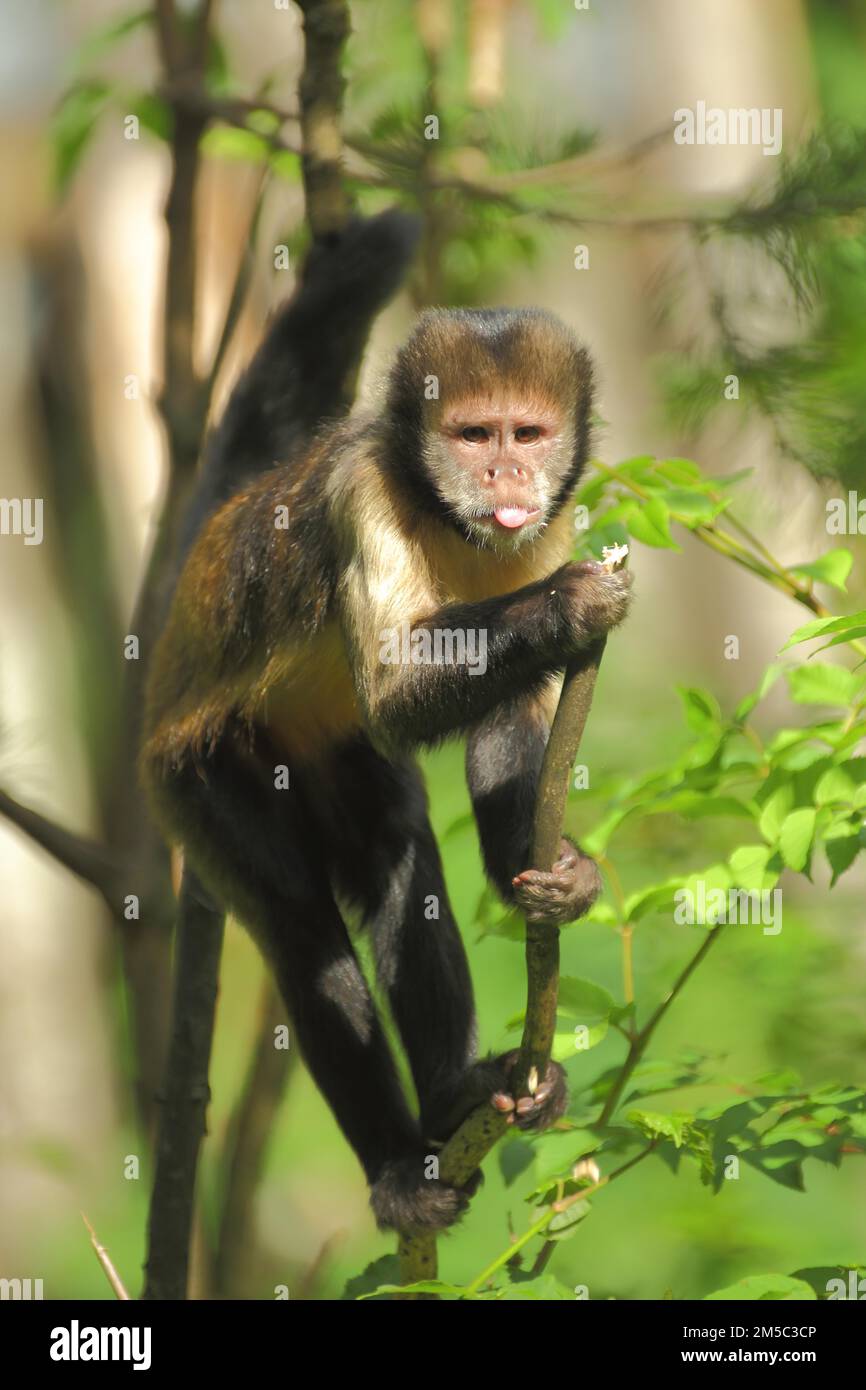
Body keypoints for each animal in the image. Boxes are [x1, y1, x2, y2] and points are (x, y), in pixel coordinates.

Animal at [140, 209, 632, 1232]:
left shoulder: (554, 518)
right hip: (194, 772)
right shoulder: (358, 491)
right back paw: (401, 1167)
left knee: (399, 851)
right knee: (299, 927)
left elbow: (511, 718)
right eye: (473, 434)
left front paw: (553, 872)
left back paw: (453, 1099)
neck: (450, 518)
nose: (504, 471)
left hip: (325, 754)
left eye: (528, 433)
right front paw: (567, 605)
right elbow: (396, 692)